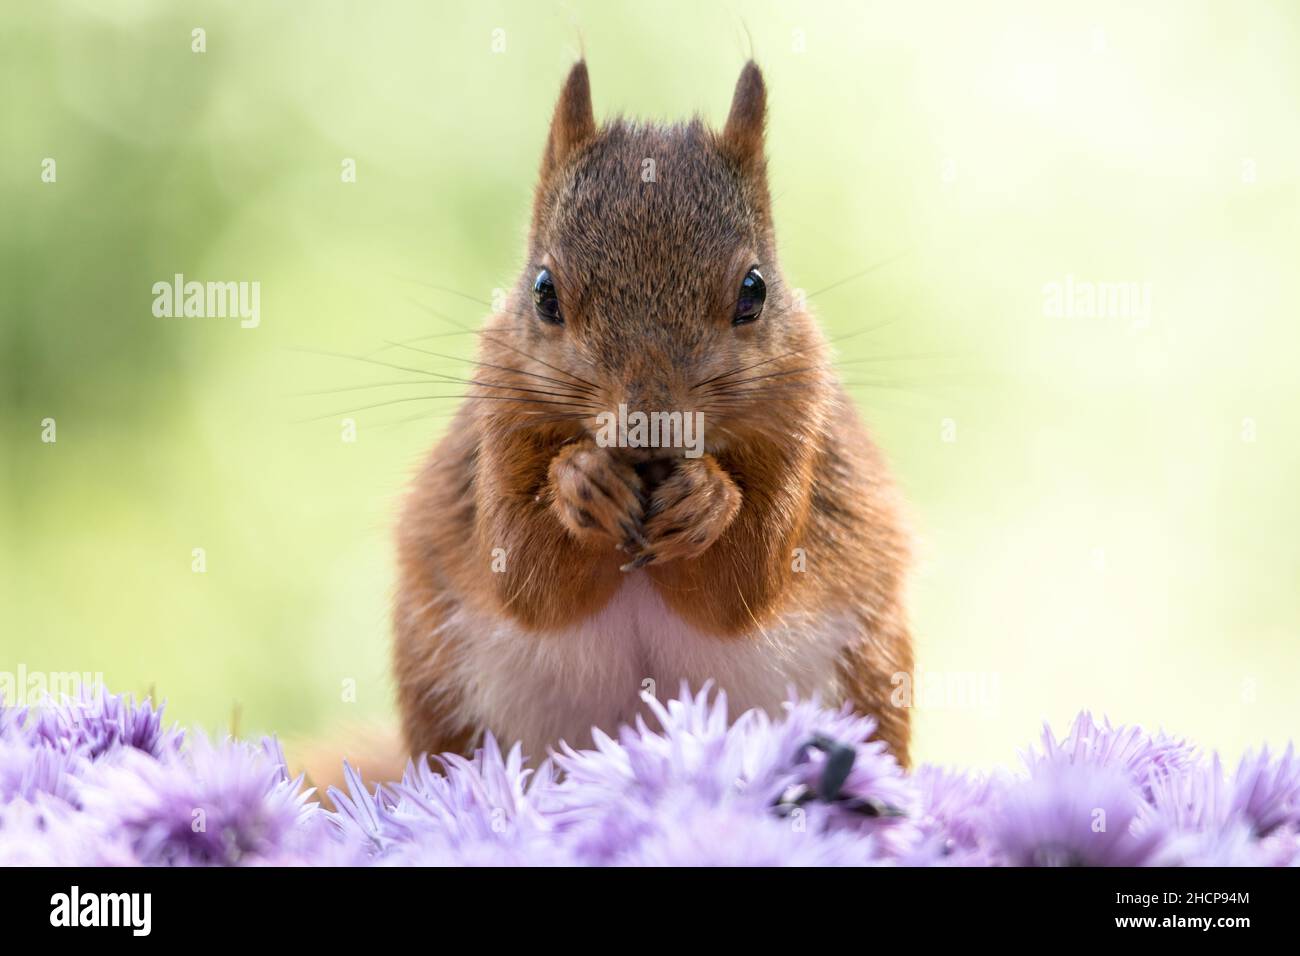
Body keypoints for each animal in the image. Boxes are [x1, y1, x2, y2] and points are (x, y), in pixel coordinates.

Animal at [392, 60, 914, 768]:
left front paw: (707, 500)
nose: (649, 426)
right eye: (544, 293)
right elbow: (527, 577)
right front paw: (581, 482)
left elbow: (743, 583)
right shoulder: (499, 424)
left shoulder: (796, 426)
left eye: (753, 290)